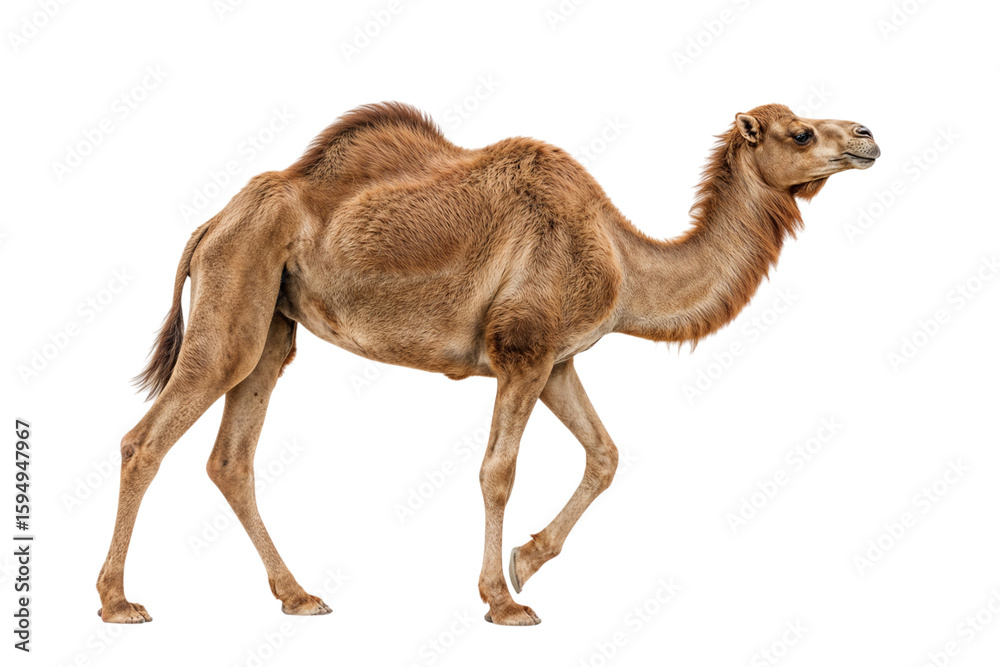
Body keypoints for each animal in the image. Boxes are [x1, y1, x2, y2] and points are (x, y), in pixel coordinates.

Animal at [97, 102, 879, 626]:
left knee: (232, 457)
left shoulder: (557, 360)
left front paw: (526, 563)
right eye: (800, 132)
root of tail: (212, 223)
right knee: (146, 439)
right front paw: (502, 600)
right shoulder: (523, 348)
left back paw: (299, 595)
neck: (624, 260)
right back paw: (118, 601)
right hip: (234, 295)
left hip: (272, 325)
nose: (867, 136)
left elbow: (605, 454)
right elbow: (498, 471)